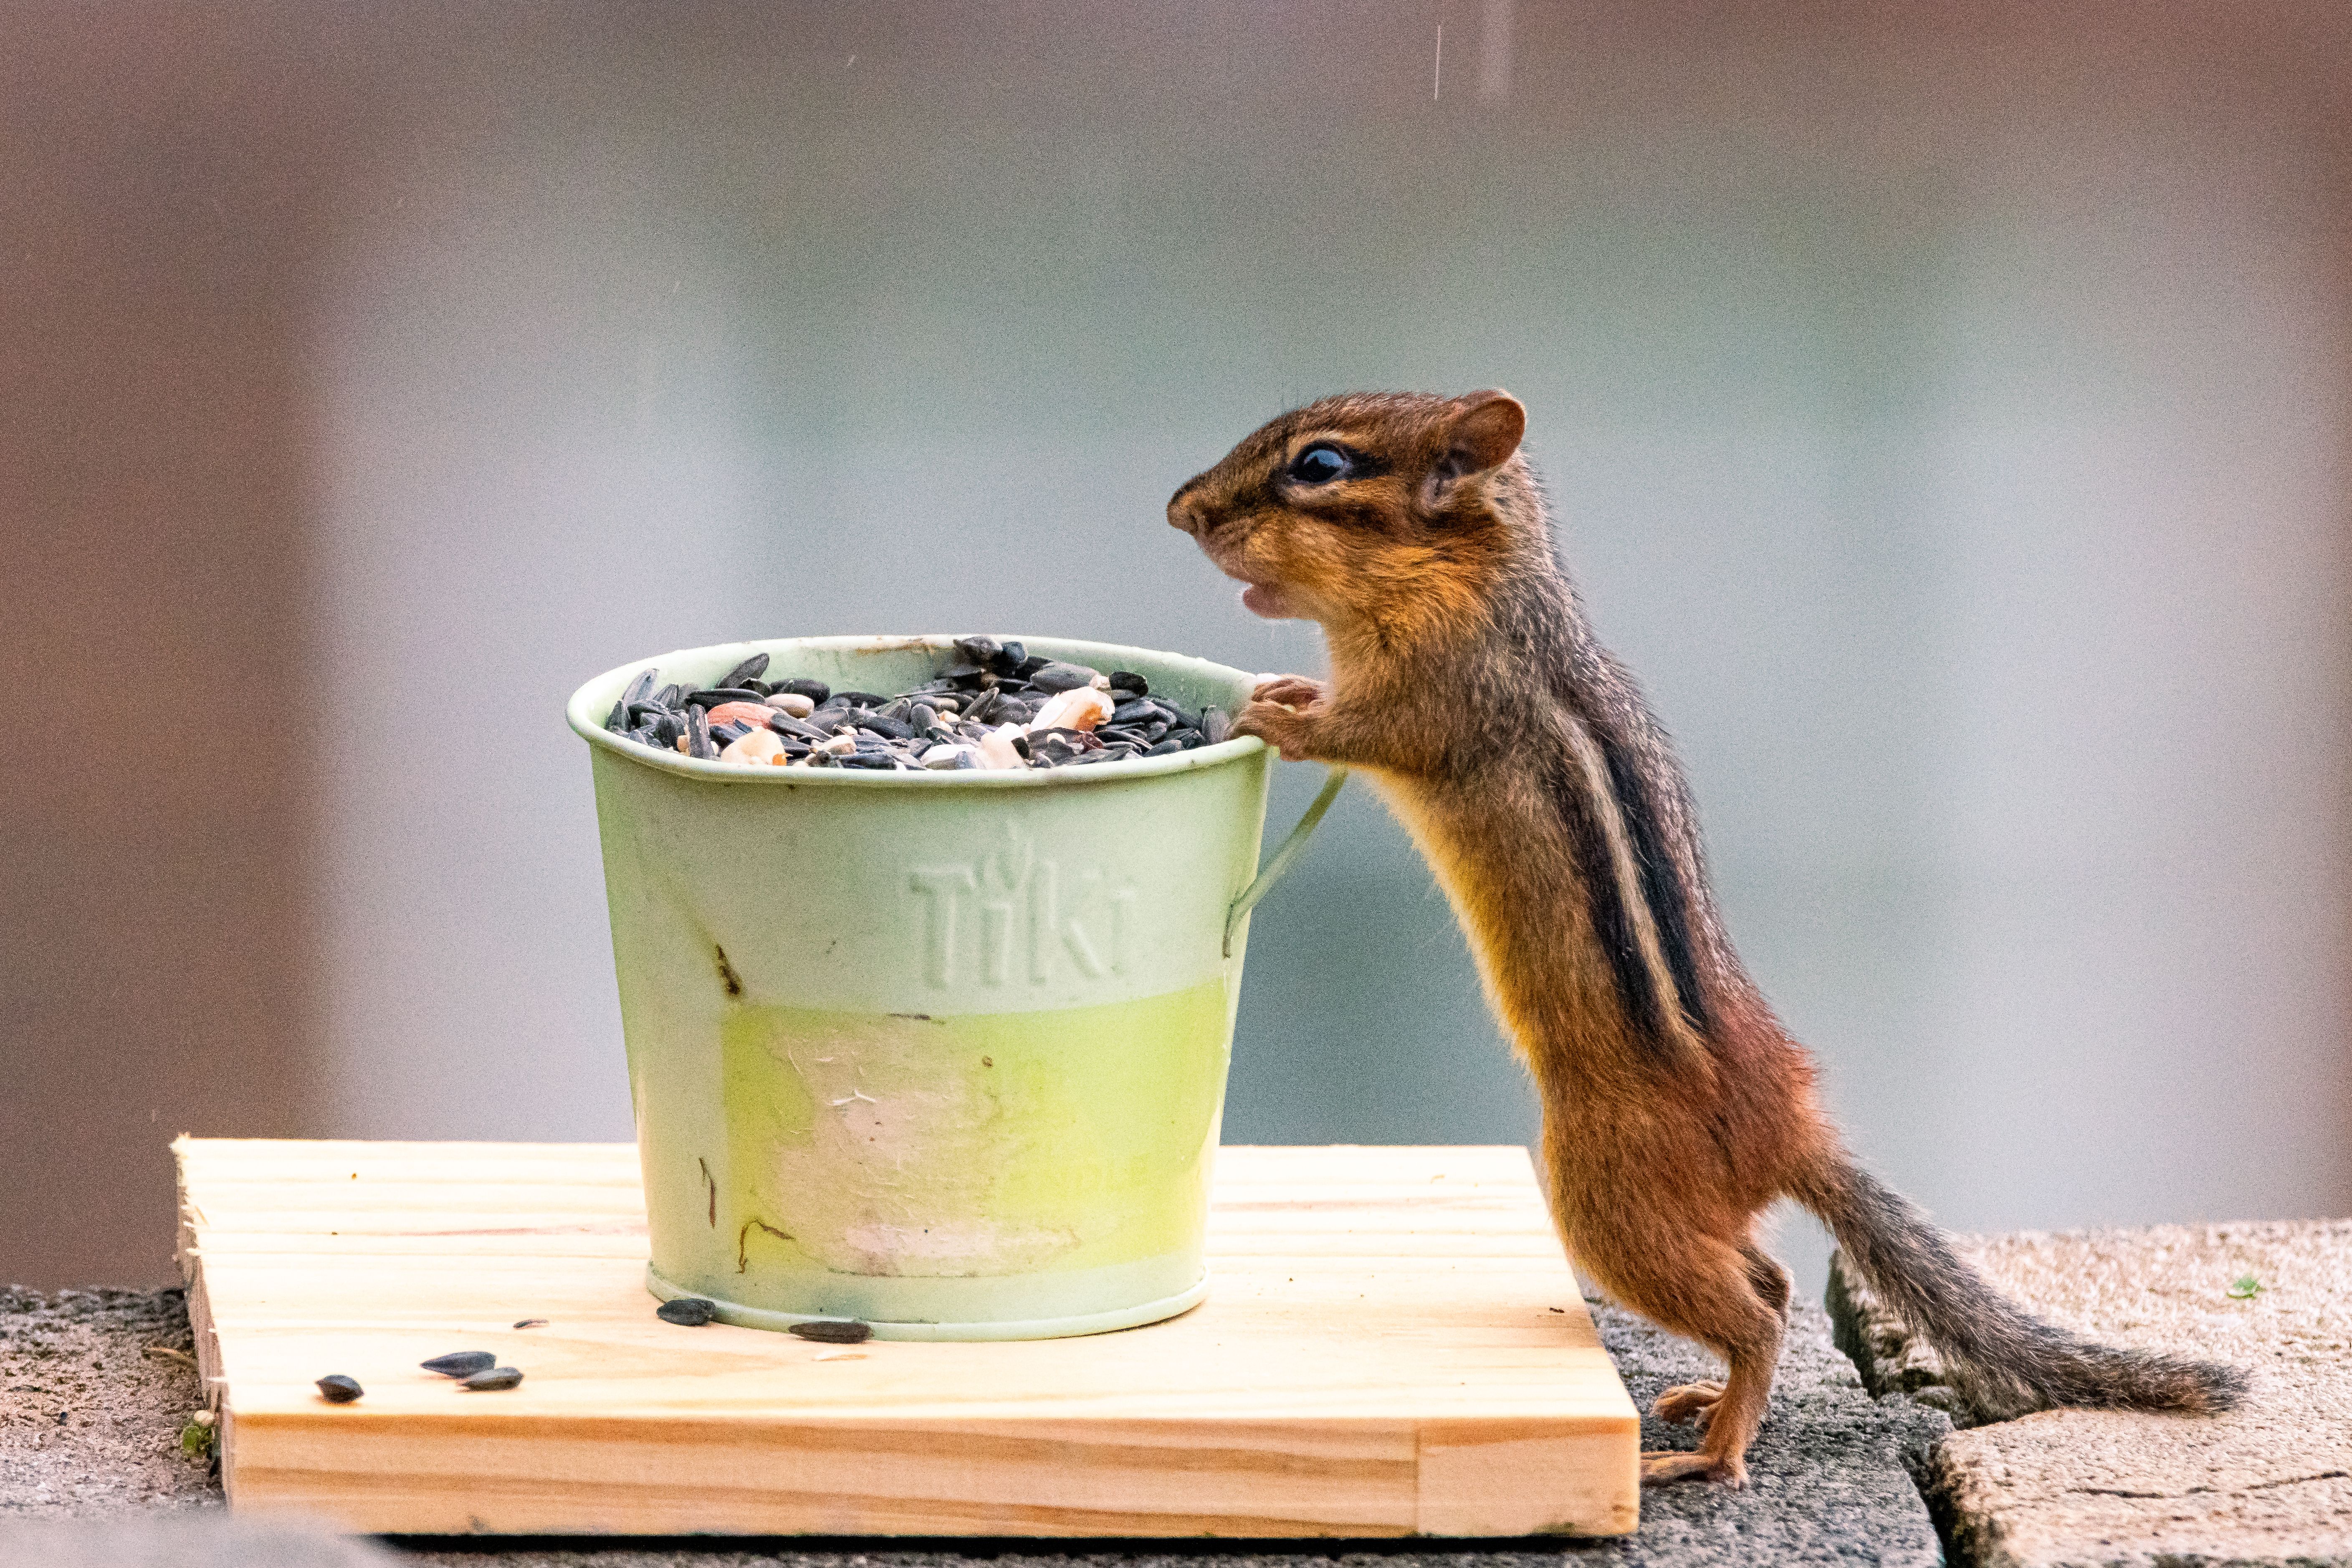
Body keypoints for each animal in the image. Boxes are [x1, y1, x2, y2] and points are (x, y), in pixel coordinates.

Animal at [1168, 389, 2247, 1487]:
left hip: (1609, 1200)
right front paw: (1284, 691)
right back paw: (1712, 1404)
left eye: (1321, 465)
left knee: (1754, 1314)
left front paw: (1275, 715)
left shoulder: (1441, 691)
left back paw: (1712, 1451)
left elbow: (1364, 732)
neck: (1469, 578)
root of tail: (1794, 1126)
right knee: (1769, 1281)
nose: (1182, 509)